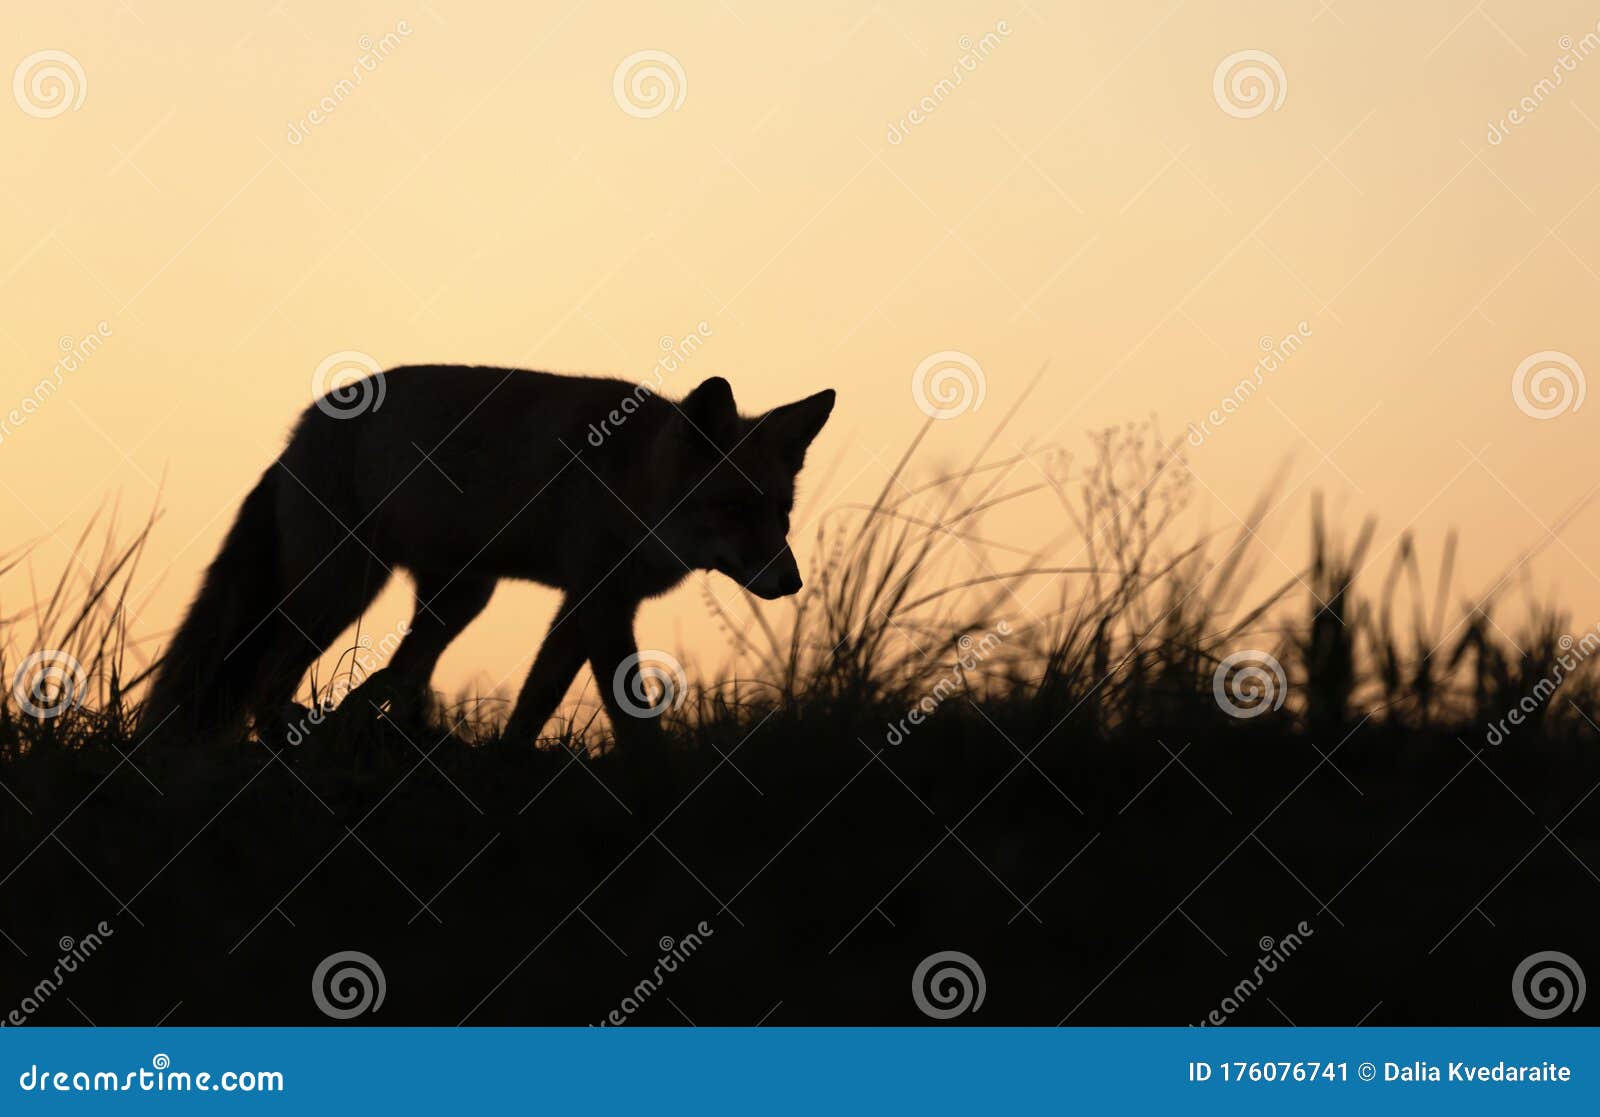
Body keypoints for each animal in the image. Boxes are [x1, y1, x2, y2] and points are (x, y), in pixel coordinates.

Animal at [140, 366, 835, 745]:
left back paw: (376, 726)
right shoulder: (603, 603)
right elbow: (630, 717)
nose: (790, 581)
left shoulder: (585, 604)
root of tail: (298, 433)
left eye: (782, 514)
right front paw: (655, 784)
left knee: (390, 673)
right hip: (340, 591)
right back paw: (305, 737)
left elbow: (535, 704)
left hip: (458, 600)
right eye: (735, 509)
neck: (628, 484)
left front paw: (509, 764)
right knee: (269, 684)